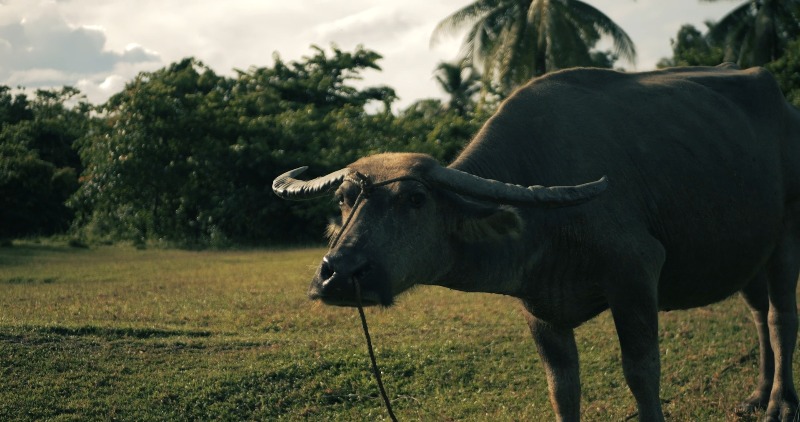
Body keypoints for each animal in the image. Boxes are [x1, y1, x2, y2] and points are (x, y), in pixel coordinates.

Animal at [272, 64, 799, 421]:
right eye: (344, 199)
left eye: (416, 199)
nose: (339, 274)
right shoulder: (539, 306)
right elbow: (561, 387)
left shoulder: (635, 274)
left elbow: (642, 372)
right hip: (747, 251)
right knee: (757, 314)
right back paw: (757, 396)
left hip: (784, 238)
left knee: (780, 318)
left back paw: (780, 403)